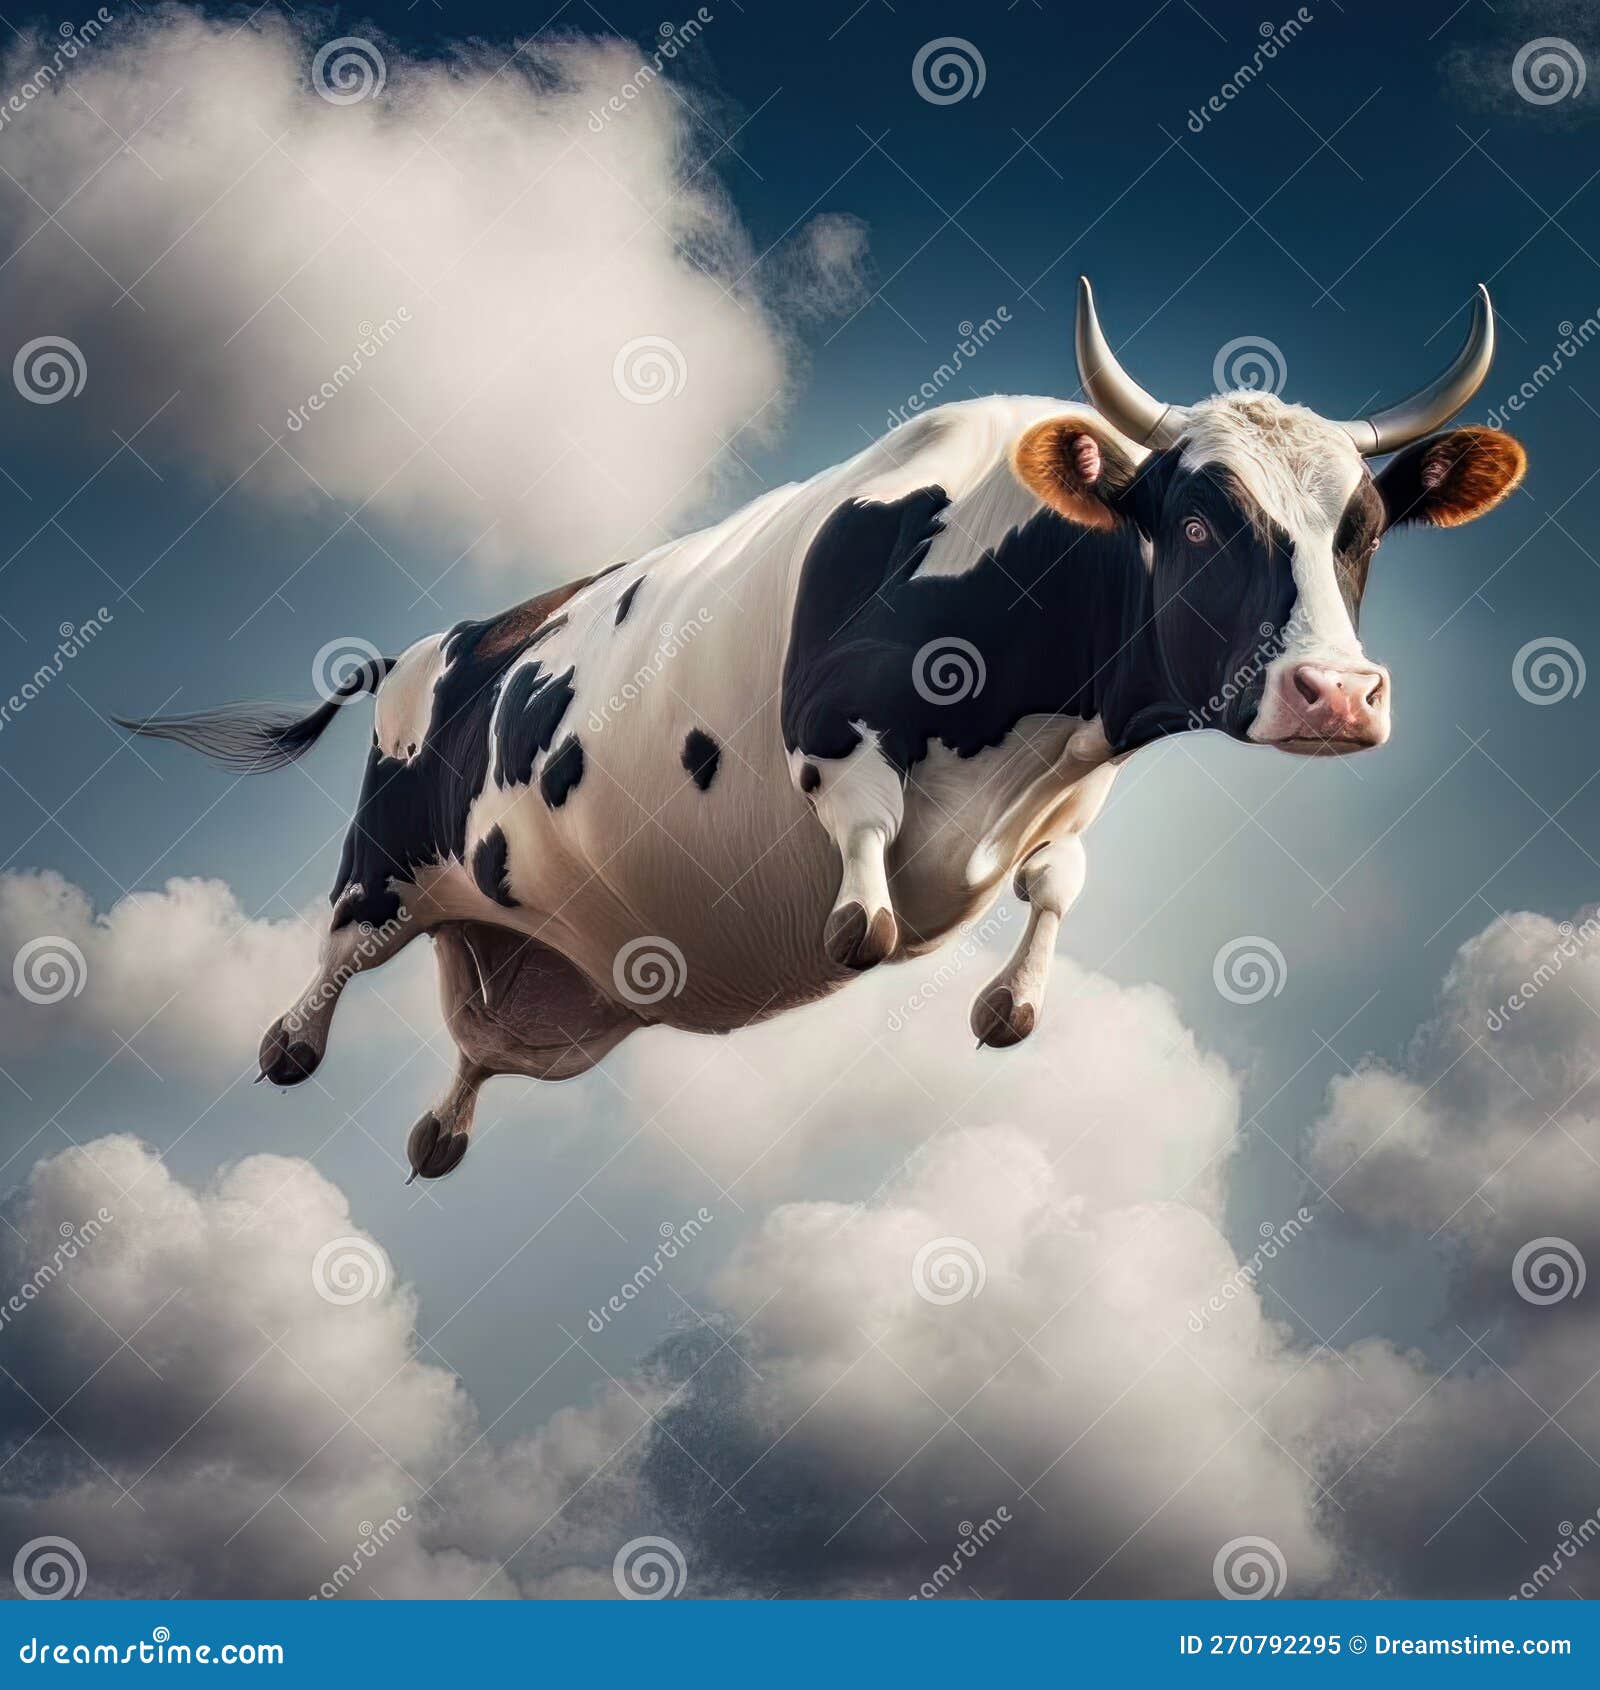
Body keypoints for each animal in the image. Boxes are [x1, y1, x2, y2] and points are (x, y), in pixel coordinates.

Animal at [121, 279, 1526, 1183]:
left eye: (1362, 531)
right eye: (1192, 520)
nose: (1335, 695)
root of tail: (435, 641)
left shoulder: (1073, 792)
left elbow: (1059, 881)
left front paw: (1008, 1000)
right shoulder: (826, 725)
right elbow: (861, 832)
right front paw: (862, 916)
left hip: (554, 998)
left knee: (474, 1057)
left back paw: (443, 1128)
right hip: (387, 849)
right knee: (346, 942)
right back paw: (292, 1039)